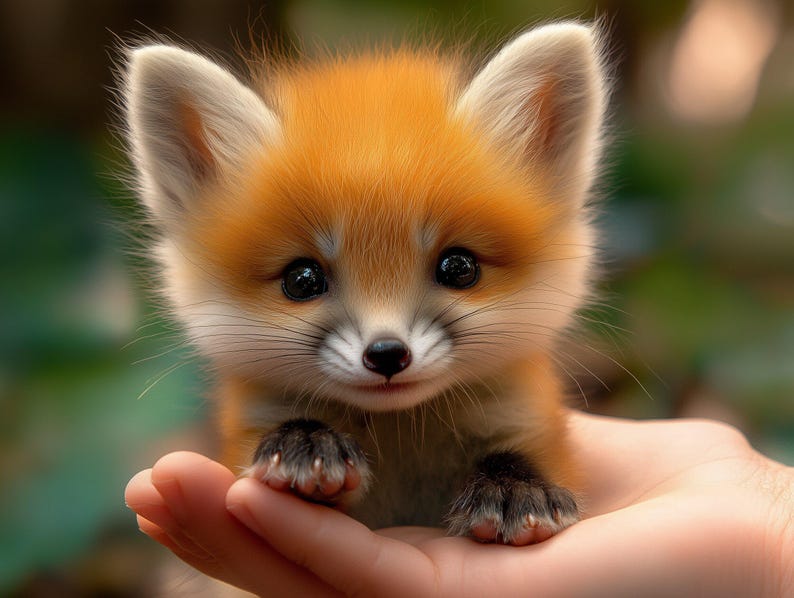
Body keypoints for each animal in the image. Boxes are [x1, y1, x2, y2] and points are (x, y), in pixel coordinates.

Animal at [124, 21, 608, 546]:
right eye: (302, 279)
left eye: (459, 267)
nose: (387, 354)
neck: (401, 438)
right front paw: (307, 442)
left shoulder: (530, 426)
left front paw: (514, 488)